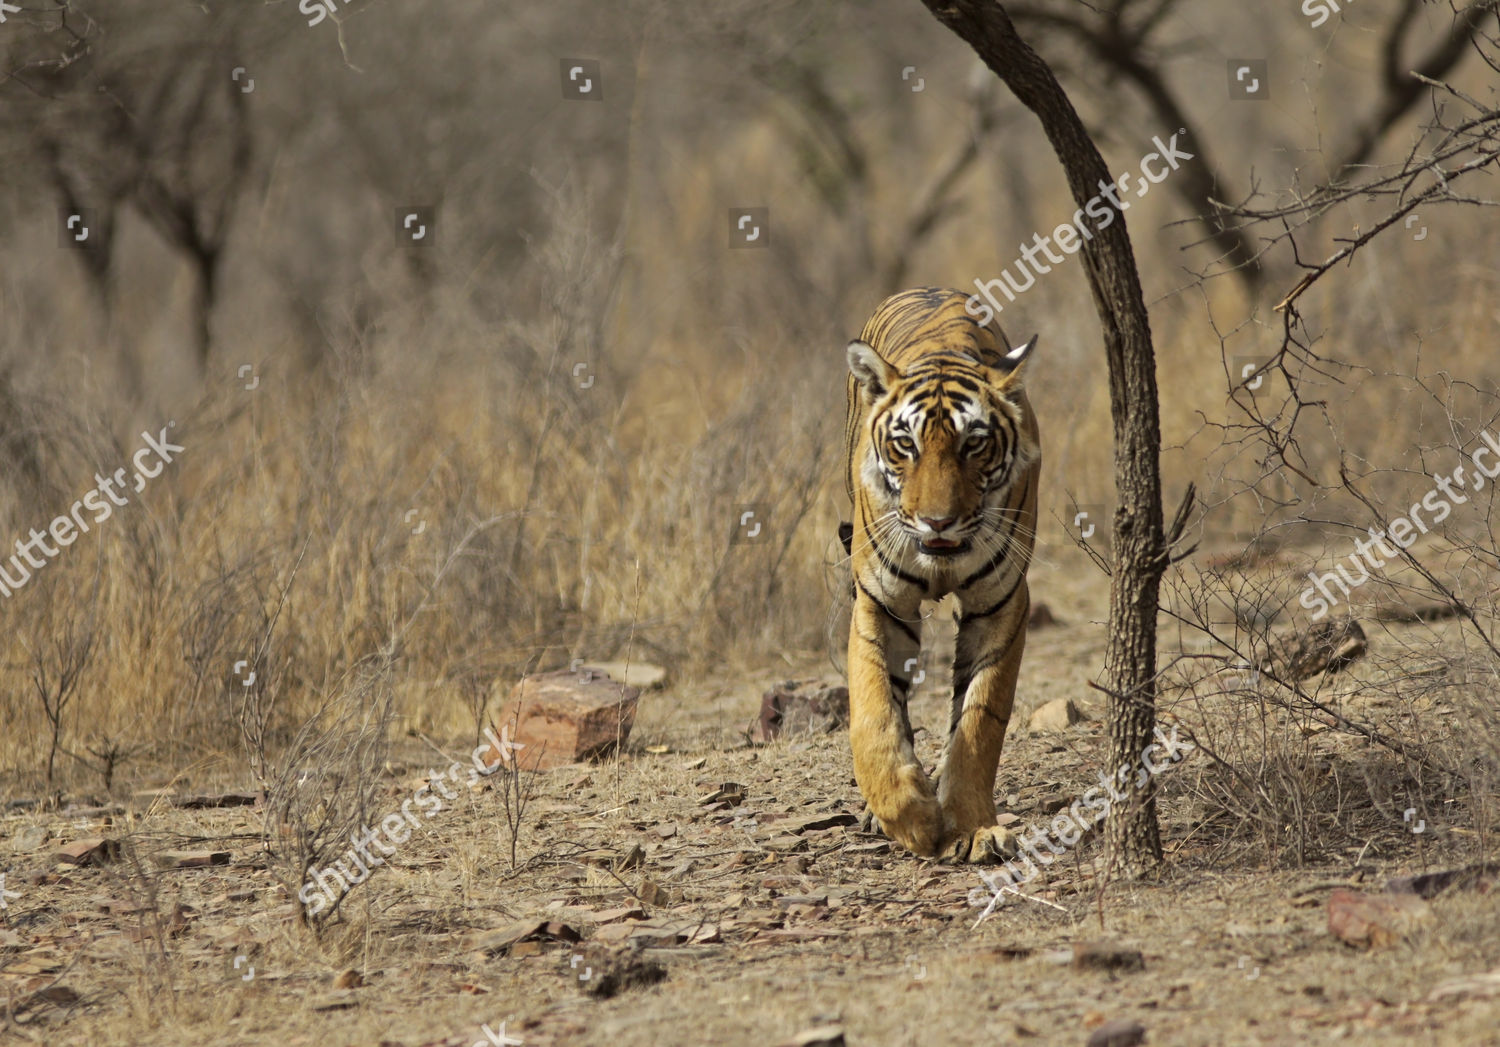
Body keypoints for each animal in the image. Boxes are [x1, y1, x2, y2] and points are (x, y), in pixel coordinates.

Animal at [842, 286, 1040, 861]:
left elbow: (979, 721)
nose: (937, 521)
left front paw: (972, 828)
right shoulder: (879, 603)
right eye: (905, 444)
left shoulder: (1001, 603)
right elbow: (873, 711)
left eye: (973, 443)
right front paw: (910, 818)